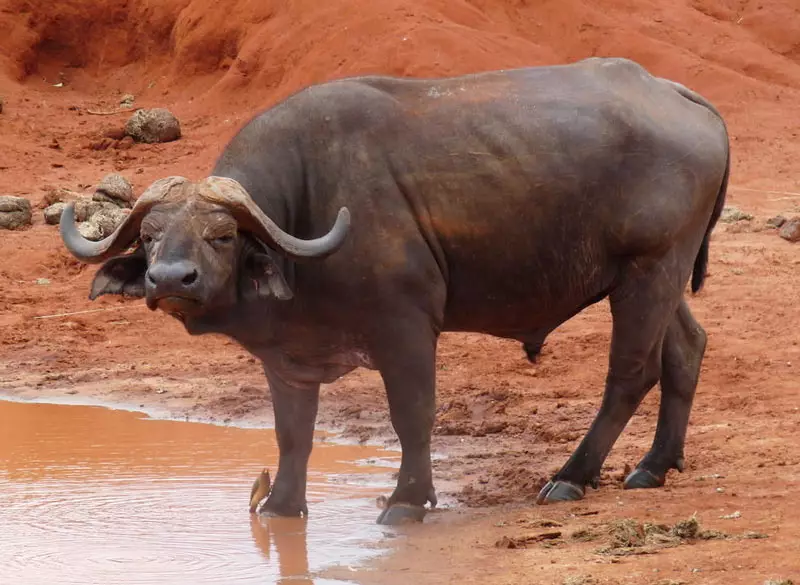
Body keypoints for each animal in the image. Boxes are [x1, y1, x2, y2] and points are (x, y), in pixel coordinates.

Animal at [59, 58, 728, 524]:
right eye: (150, 237)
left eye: (222, 236)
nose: (171, 280)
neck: (305, 215)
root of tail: (677, 95)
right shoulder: (287, 359)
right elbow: (293, 434)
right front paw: (281, 507)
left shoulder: (405, 330)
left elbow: (413, 416)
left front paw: (407, 499)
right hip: (655, 277)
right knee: (686, 349)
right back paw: (654, 466)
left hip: (650, 270)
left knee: (632, 372)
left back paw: (572, 476)